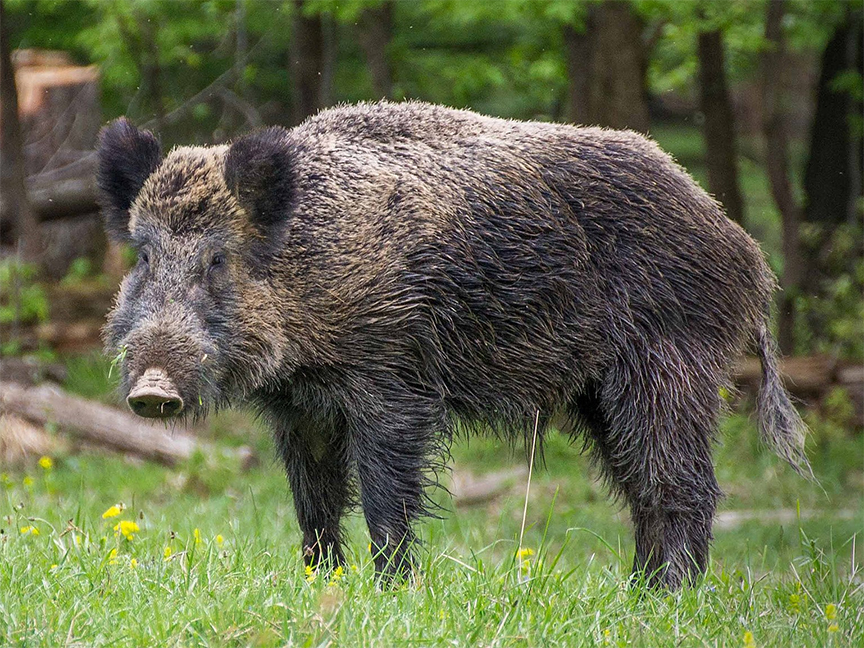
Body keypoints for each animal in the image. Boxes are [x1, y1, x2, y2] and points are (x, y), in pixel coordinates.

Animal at [96, 100, 808, 589]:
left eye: (218, 259)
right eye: (143, 255)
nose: (152, 390)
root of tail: (747, 254)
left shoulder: (392, 380)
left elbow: (385, 495)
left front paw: (390, 593)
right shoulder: (301, 408)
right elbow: (313, 501)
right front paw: (321, 582)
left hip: (669, 363)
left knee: (682, 484)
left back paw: (667, 598)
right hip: (599, 393)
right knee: (640, 488)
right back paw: (636, 592)